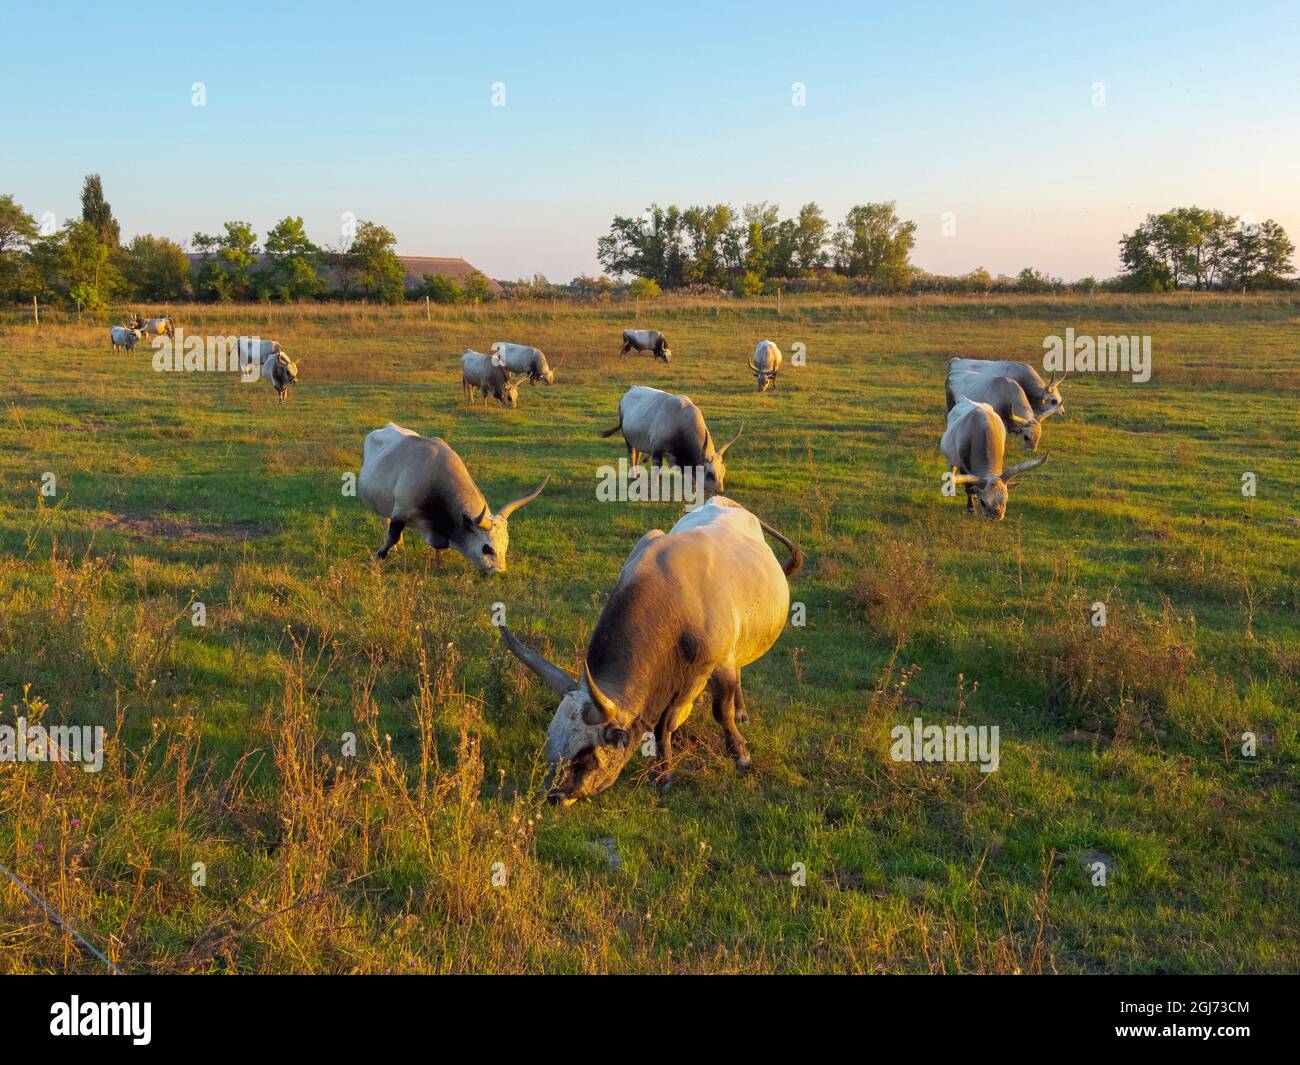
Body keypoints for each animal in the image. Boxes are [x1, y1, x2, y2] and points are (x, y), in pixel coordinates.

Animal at [358, 422, 548, 572]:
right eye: (486, 549)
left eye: (505, 545)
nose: (499, 571)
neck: (433, 477)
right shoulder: (401, 512)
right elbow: (392, 536)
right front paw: (380, 555)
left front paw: (439, 563)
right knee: (385, 520)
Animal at [498, 496, 802, 804]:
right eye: (551, 744)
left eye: (585, 756)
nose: (553, 796)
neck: (675, 605)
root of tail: (722, 500)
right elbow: (665, 724)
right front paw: (665, 769)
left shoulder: (718, 667)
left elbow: (715, 714)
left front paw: (738, 755)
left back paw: (741, 713)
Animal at [600, 386, 742, 495]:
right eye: (710, 475)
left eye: (723, 471)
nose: (719, 491)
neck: (680, 422)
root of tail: (630, 390)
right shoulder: (657, 452)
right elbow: (656, 471)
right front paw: (654, 489)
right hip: (628, 439)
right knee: (632, 454)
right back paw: (633, 475)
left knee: (638, 453)